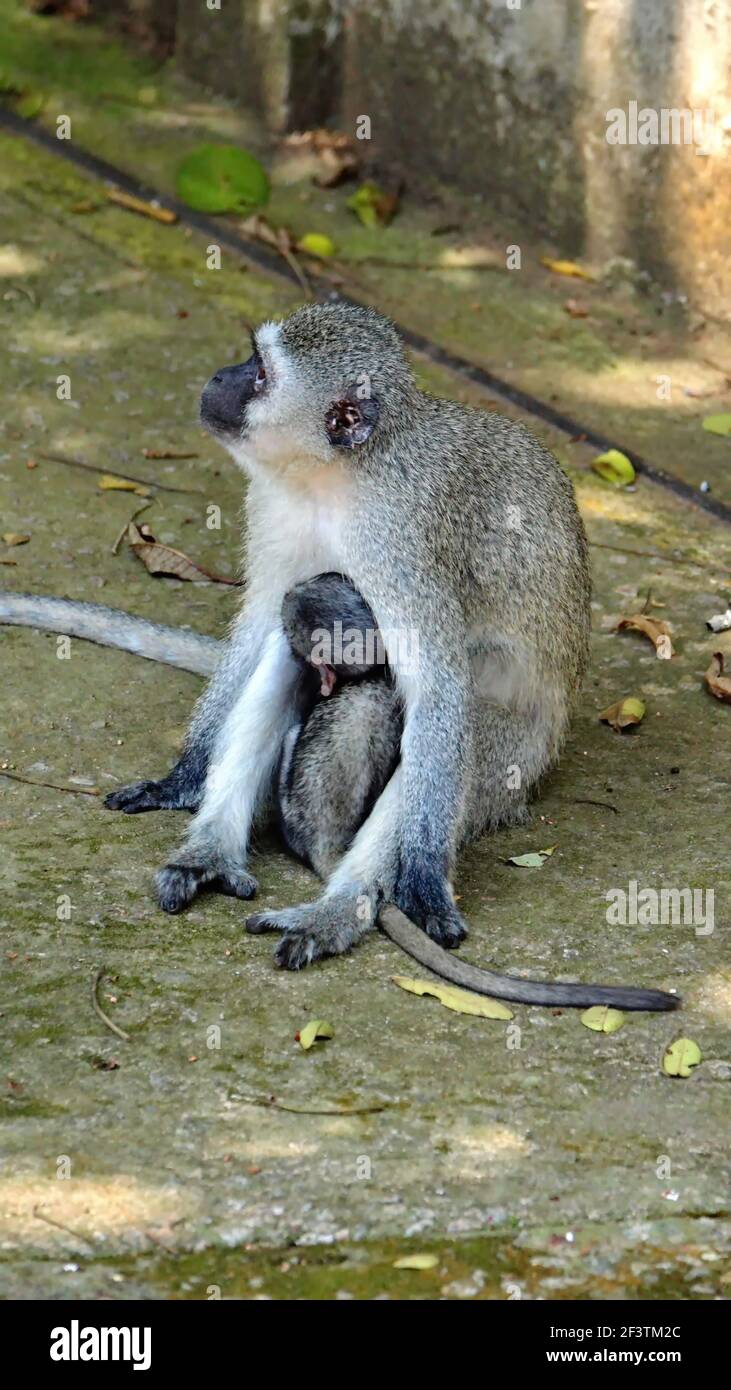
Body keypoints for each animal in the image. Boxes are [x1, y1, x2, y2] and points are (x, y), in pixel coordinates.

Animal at [0, 303, 679, 1010]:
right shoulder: (277, 503)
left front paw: (424, 880)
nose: (218, 374)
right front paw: (183, 778)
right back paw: (209, 853)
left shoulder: (404, 537)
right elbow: (260, 622)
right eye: (250, 356)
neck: (338, 476)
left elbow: (437, 684)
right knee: (286, 636)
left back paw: (337, 909)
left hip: (514, 762)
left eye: (260, 372)